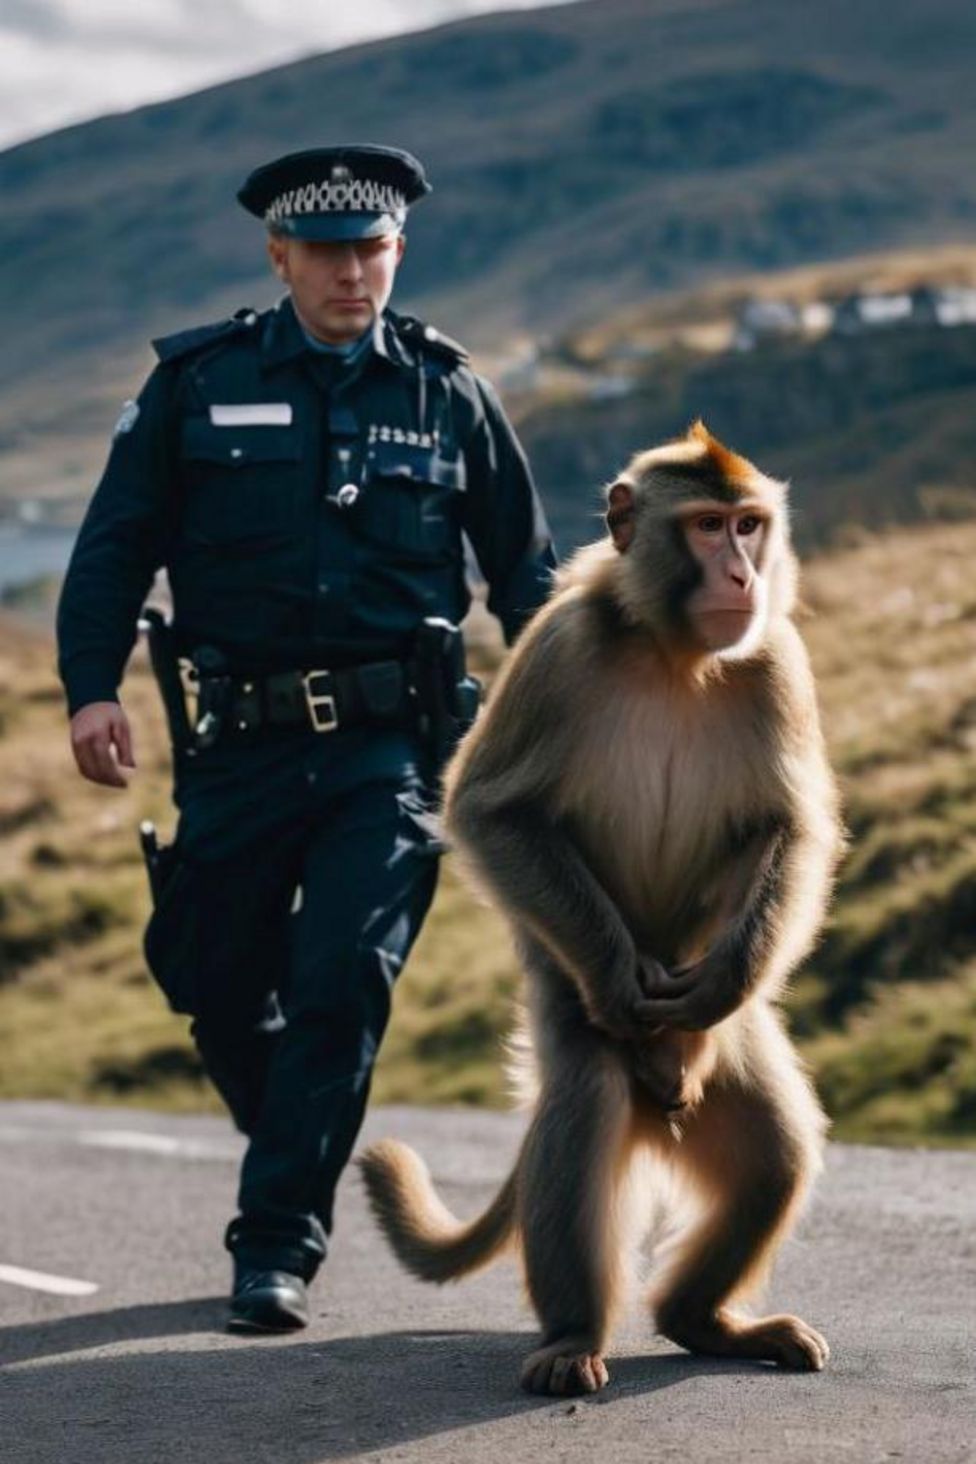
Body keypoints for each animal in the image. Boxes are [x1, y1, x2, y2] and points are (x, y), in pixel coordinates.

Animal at [360, 422, 843, 1398]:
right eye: (706, 527)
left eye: (748, 525)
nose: (743, 575)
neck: (674, 654)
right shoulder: (558, 651)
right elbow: (492, 813)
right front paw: (622, 978)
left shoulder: (775, 663)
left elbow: (791, 829)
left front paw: (719, 980)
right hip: (564, 1018)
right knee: (582, 1109)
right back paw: (575, 1333)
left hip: (731, 1053)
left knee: (774, 1155)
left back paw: (704, 1321)